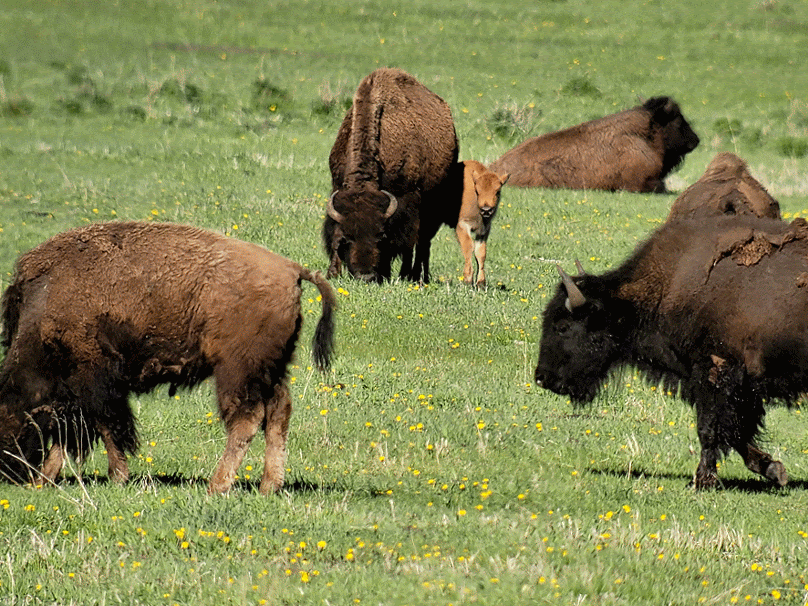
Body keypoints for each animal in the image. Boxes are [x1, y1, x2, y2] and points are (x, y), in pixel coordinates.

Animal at [0, 221, 336, 494]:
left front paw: (117, 477)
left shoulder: (96, 381)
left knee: (246, 418)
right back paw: (269, 486)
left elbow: (107, 426)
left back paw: (217, 485)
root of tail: (292, 269)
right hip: (273, 370)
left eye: (6, 421)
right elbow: (74, 431)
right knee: (278, 414)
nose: (10, 475)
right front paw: (44, 479)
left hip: (236, 371)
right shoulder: (79, 393)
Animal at [323, 67, 459, 283]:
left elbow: (406, 241)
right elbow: (334, 236)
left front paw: (394, 274)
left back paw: (415, 276)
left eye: (380, 236)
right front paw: (332, 273)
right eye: (349, 236)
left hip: (432, 203)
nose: (366, 275)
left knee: (422, 242)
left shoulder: (408, 200)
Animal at [534, 215, 808, 489]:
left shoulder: (716, 375)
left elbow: (711, 429)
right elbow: (736, 432)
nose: (542, 378)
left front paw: (703, 481)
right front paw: (774, 469)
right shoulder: (738, 388)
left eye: (562, 326)